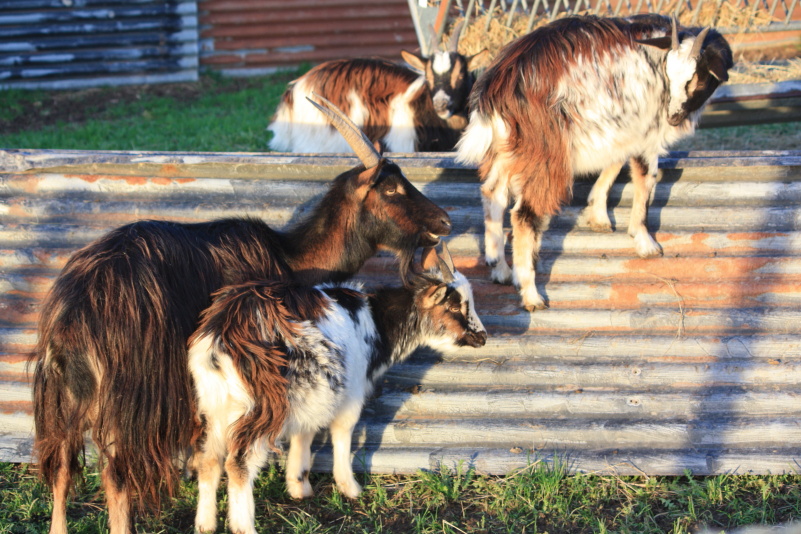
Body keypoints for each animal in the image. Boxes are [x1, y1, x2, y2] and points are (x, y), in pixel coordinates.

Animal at [32, 95, 452, 534]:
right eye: (390, 188)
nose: (444, 221)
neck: (290, 257)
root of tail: (73, 312)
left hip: (61, 394)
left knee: (61, 465)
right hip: (128, 394)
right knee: (115, 469)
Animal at [187, 243, 487, 534]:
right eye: (455, 308)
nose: (482, 337)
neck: (376, 322)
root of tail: (223, 335)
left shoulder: (314, 397)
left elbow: (305, 433)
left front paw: (299, 486)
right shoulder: (350, 391)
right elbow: (343, 431)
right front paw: (350, 487)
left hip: (214, 405)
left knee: (209, 459)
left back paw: (205, 525)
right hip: (266, 405)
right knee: (238, 463)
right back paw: (243, 527)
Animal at [455, 14, 733, 310]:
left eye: (698, 80)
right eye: (676, 77)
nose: (673, 117)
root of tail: (497, 85)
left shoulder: (621, 128)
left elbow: (615, 161)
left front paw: (598, 213)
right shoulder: (646, 132)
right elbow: (645, 179)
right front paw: (644, 241)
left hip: (509, 146)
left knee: (492, 193)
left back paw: (500, 269)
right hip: (546, 149)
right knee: (523, 215)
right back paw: (530, 293)